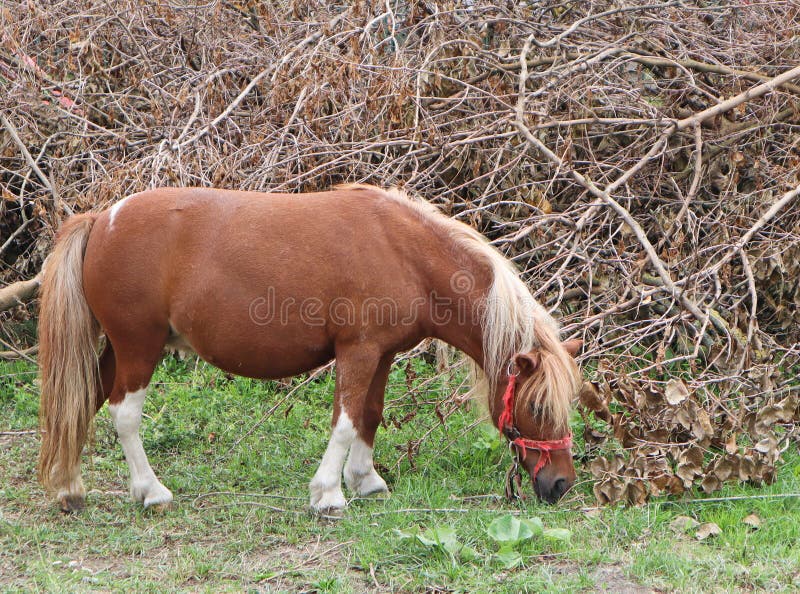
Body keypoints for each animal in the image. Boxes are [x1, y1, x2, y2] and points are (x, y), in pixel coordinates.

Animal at [37, 184, 583, 514]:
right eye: (537, 407)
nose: (561, 484)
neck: (404, 253)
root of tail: (101, 218)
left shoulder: (381, 354)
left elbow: (369, 416)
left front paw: (365, 480)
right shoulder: (357, 351)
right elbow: (344, 422)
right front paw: (329, 494)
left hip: (116, 350)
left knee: (80, 404)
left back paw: (70, 488)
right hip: (139, 348)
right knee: (124, 415)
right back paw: (151, 491)